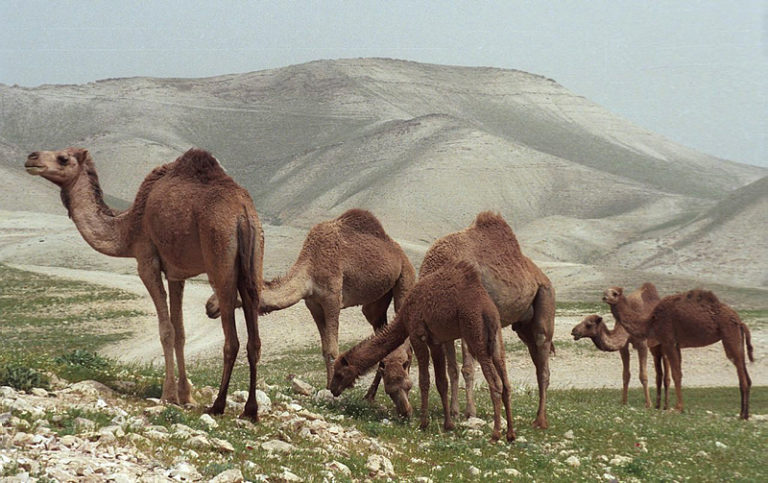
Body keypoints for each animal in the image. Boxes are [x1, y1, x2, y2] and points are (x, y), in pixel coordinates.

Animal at [24, 147, 264, 419]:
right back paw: (250, 410)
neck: (129, 226)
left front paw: (167, 396)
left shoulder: (146, 260)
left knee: (231, 339)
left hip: (220, 257)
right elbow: (180, 331)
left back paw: (218, 405)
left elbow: (166, 330)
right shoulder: (176, 272)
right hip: (254, 260)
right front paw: (185, 395)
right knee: (254, 337)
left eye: (63, 158)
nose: (32, 157)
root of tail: (242, 213)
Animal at [205, 209, 416, 413]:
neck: (310, 268)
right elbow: (324, 348)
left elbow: (332, 349)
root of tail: (400, 253)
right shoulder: (313, 304)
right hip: (375, 302)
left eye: (233, 288)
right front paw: (328, 386)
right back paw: (370, 396)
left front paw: (332, 391)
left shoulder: (332, 299)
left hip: (405, 279)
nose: (209, 307)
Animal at [329, 261, 516, 442]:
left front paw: (423, 423)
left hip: (475, 335)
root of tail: (488, 309)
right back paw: (510, 434)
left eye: (339, 373)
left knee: (495, 382)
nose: (333, 389)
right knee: (506, 382)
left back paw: (495, 435)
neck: (404, 316)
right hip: (496, 339)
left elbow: (424, 380)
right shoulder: (436, 341)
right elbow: (441, 382)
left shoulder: (417, 334)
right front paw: (448, 424)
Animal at [419, 212, 554, 429]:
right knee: (535, 356)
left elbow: (467, 368)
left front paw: (470, 413)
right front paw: (454, 412)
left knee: (543, 361)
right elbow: (452, 369)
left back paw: (540, 421)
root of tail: (543, 277)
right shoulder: (443, 329)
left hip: (546, 299)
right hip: (523, 327)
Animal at [604, 287, 754, 419]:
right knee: (745, 372)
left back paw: (743, 415)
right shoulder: (676, 345)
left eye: (615, 293)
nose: (604, 296)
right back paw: (744, 413)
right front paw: (678, 407)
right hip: (737, 339)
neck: (652, 321)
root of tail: (740, 322)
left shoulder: (669, 341)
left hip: (729, 335)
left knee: (740, 370)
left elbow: (676, 374)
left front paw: (678, 408)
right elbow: (679, 374)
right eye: (606, 291)